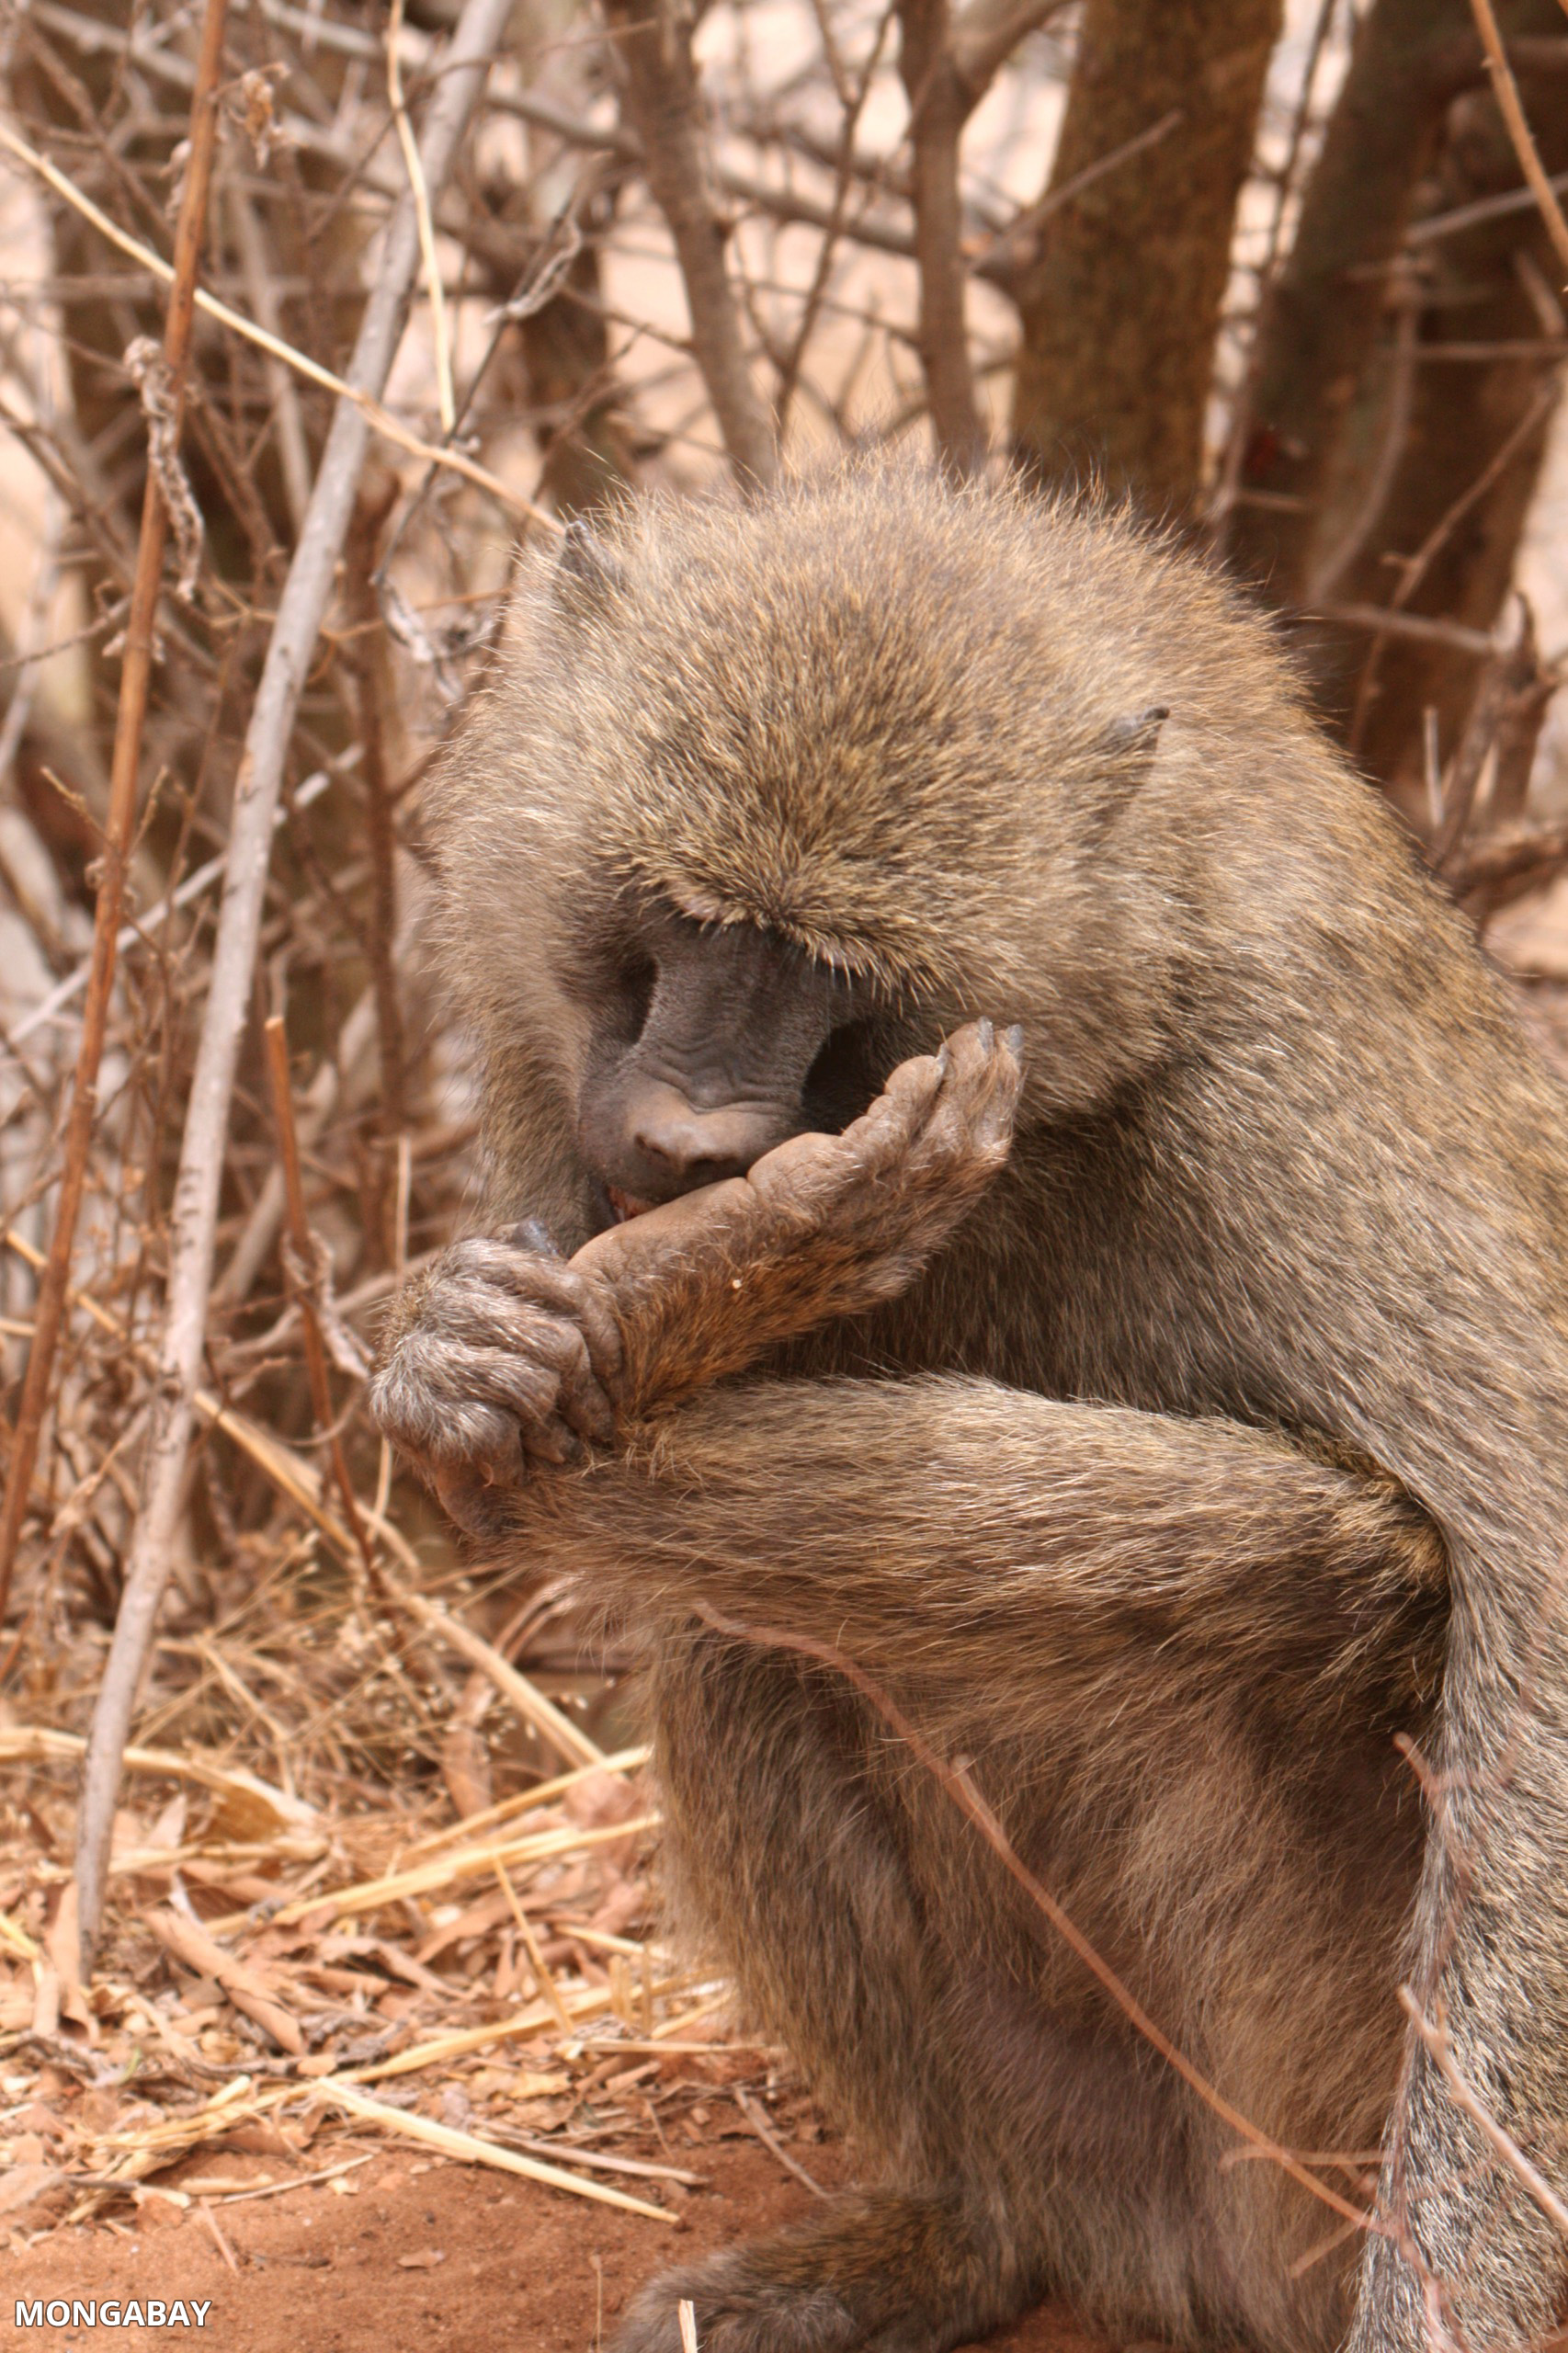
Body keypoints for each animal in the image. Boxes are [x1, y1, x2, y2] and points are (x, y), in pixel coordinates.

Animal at [369, 458, 1568, 2353]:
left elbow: (1529, 1591)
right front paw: (495, 1343)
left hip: (1286, 2129)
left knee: (1340, 1570)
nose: (692, 1147)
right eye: (688, 927)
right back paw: (960, 2243)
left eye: (834, 977)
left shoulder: (1281, 1094)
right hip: (1091, 2131)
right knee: (746, 1637)